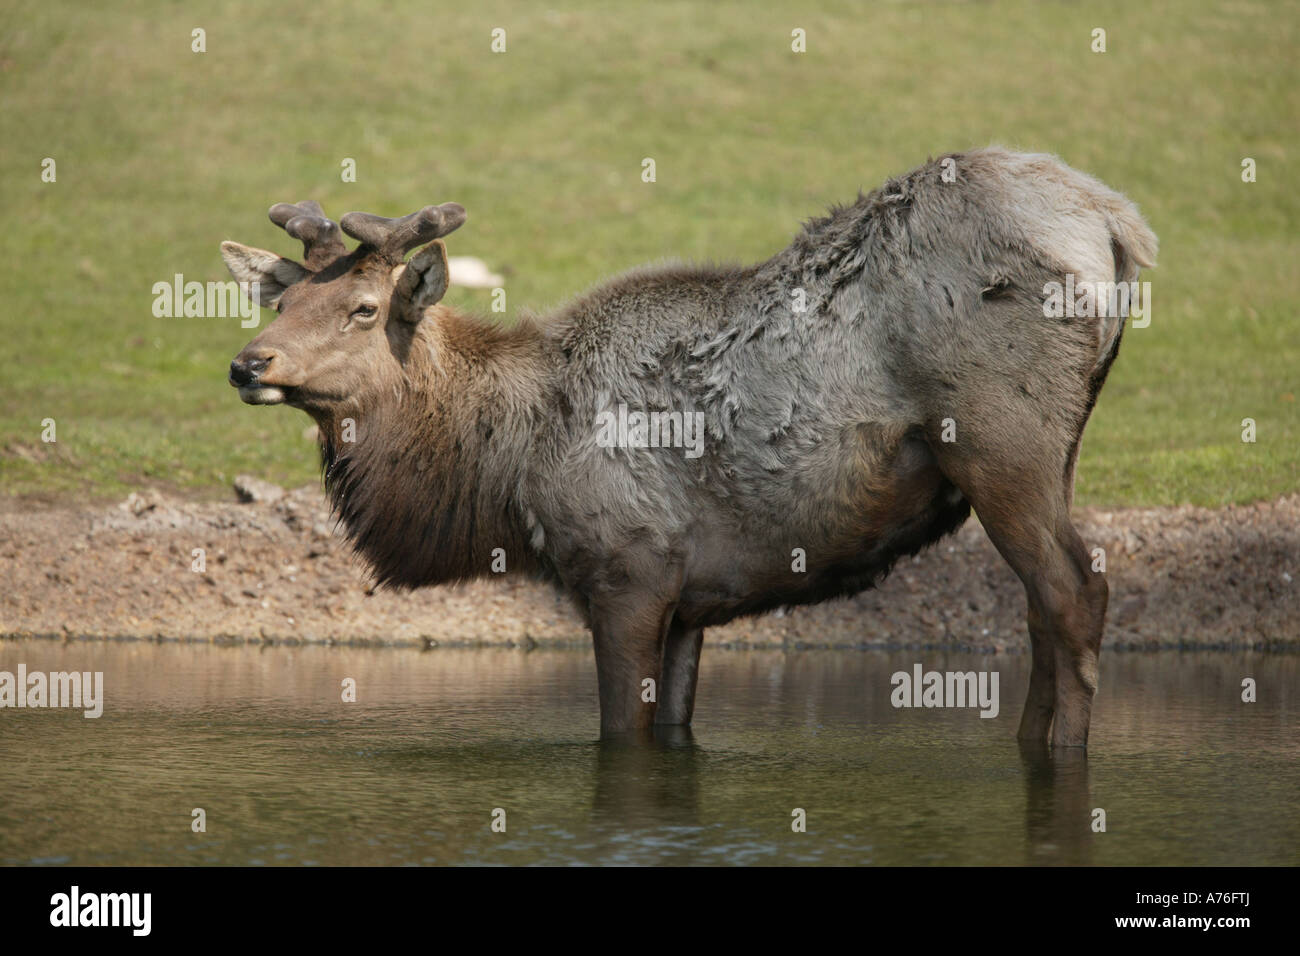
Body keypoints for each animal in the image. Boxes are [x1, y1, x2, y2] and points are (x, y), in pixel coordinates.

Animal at [222, 148, 1156, 748]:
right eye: (283, 302)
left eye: (363, 310)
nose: (246, 362)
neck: (503, 465)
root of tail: (1120, 226)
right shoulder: (690, 601)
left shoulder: (627, 571)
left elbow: (622, 735)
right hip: (1062, 447)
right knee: (1043, 604)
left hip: (1003, 440)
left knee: (1075, 591)